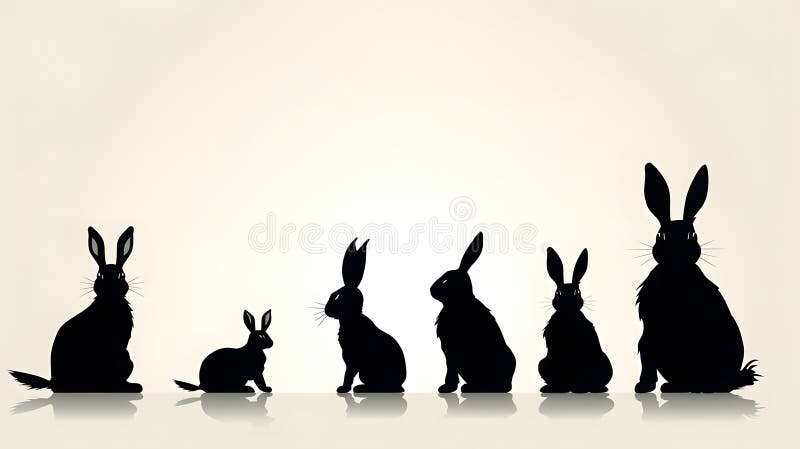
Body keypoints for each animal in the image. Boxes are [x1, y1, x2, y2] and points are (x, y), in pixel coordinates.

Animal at [322, 238, 406, 393]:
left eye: (337, 296)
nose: (327, 310)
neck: (351, 318)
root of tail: (400, 383)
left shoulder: (352, 358)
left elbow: (348, 373)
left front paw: (343, 389)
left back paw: (360, 389)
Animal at [430, 232, 516, 393]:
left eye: (445, 281)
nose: (431, 289)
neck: (460, 301)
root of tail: (508, 384)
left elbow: (450, 370)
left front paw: (446, 388)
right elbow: (450, 368)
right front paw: (447, 388)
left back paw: (471, 388)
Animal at [635, 163, 758, 393]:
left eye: (692, 235)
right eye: (660, 236)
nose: (676, 249)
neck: (676, 272)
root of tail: (734, 377)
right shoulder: (648, 333)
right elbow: (646, 355)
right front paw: (643, 386)